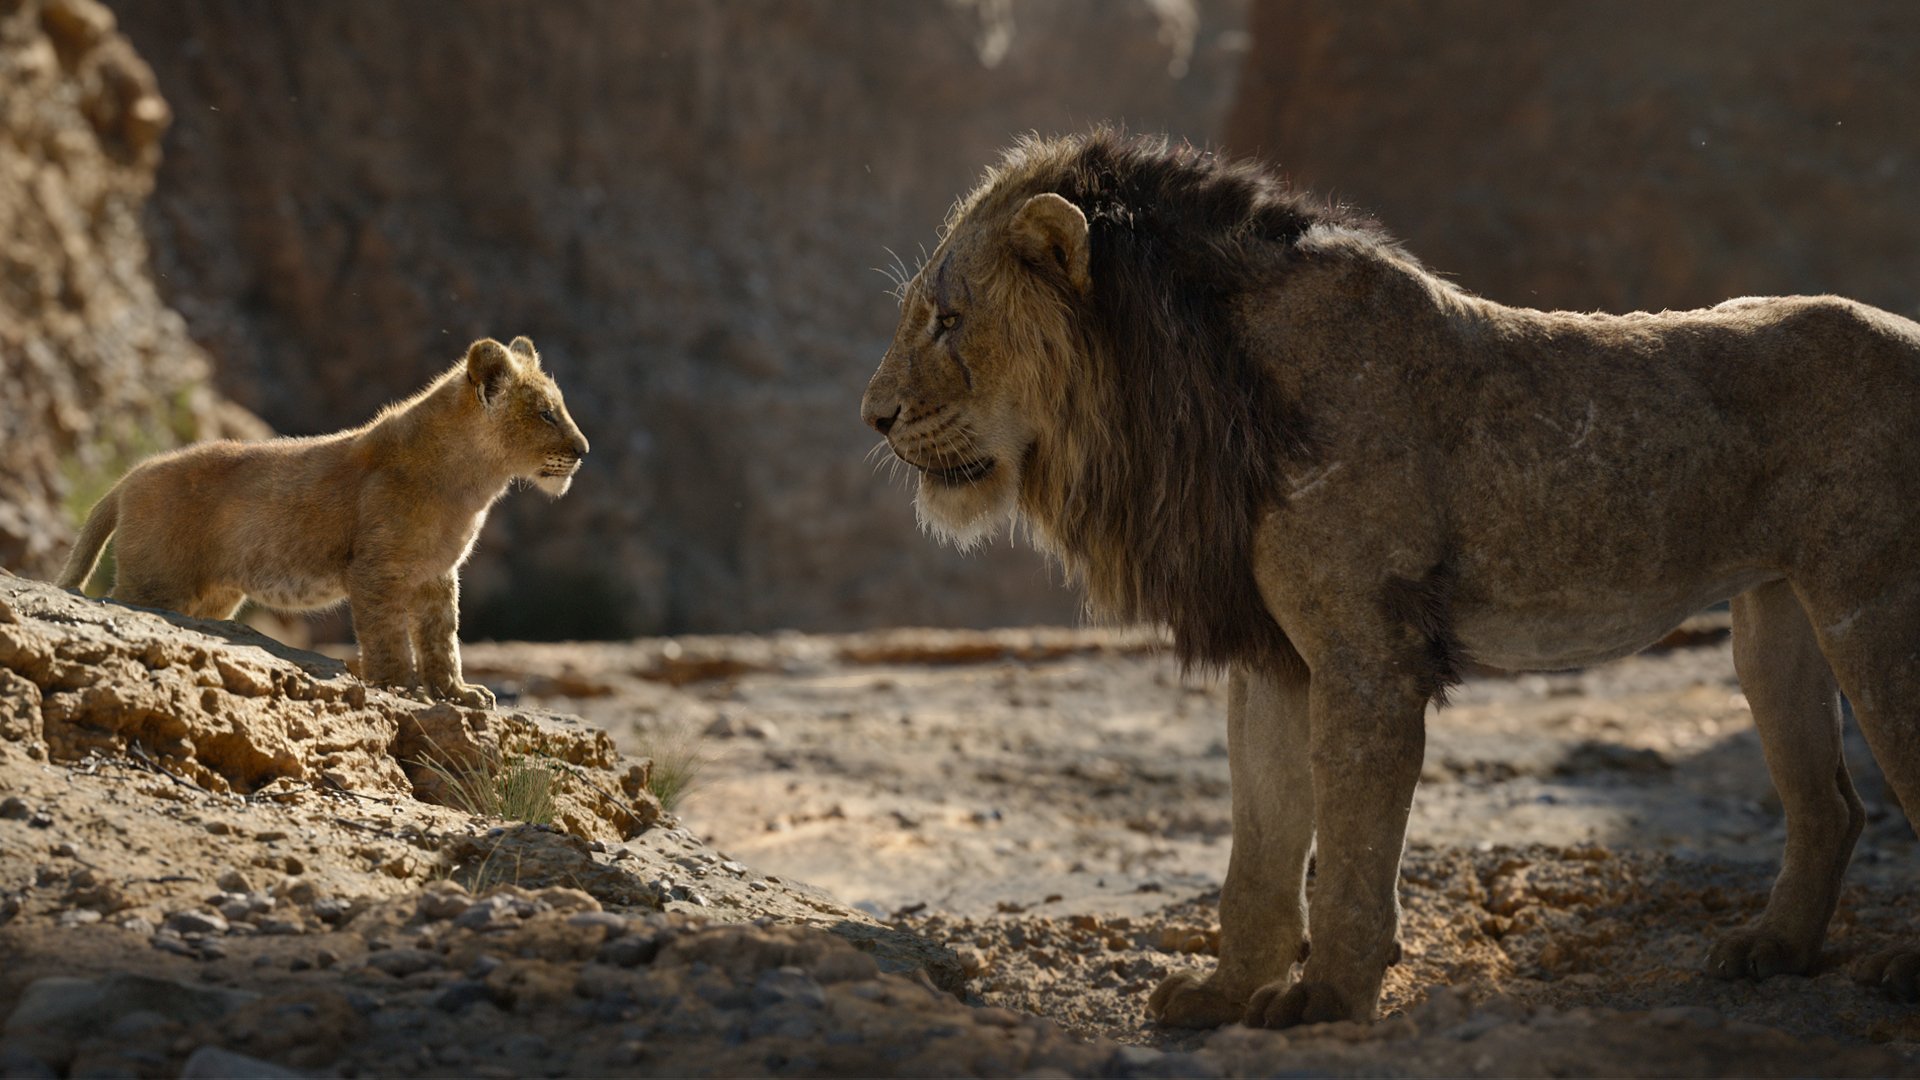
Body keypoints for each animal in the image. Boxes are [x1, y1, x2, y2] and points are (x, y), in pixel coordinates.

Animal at [59, 336, 589, 709]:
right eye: (546, 413)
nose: (584, 451)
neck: (472, 482)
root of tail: (130, 477)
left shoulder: (438, 574)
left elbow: (443, 637)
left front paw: (457, 694)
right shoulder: (375, 569)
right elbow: (387, 636)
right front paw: (401, 687)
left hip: (212, 596)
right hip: (155, 583)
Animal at [861, 129, 1920, 1028]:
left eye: (948, 321)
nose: (873, 415)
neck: (1184, 391)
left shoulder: (1365, 653)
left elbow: (1350, 841)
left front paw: (1325, 997)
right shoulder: (1275, 656)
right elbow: (1260, 842)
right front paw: (1223, 994)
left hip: (1872, 611)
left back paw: (1889, 972)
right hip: (1775, 620)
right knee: (1831, 805)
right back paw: (1772, 950)